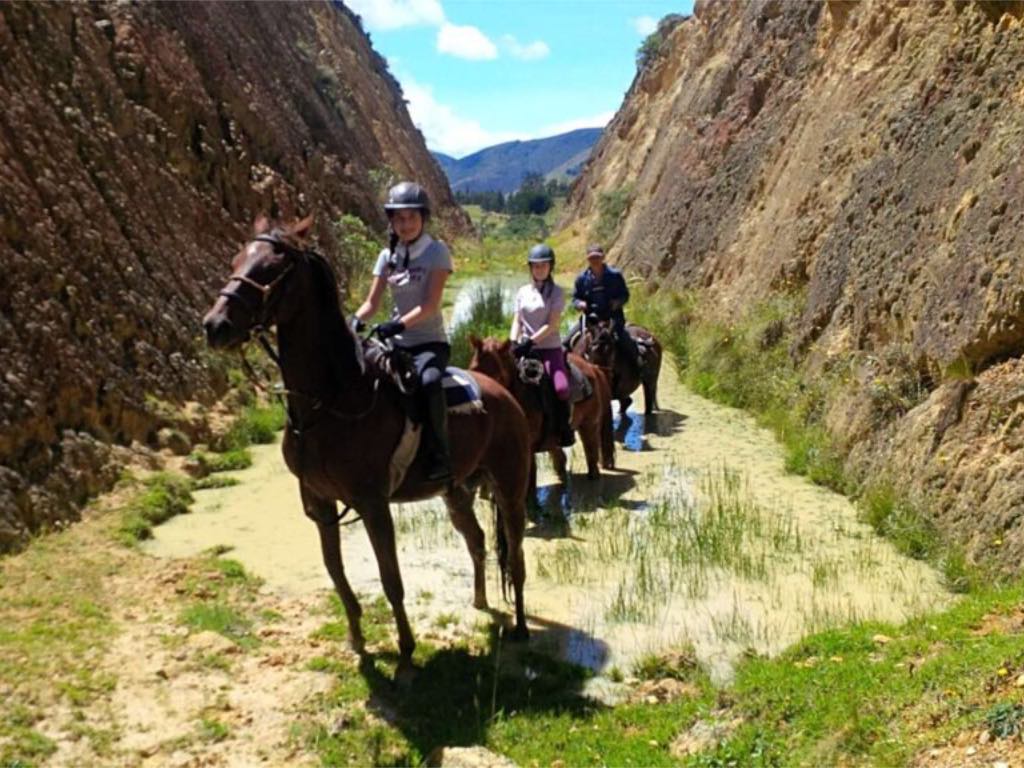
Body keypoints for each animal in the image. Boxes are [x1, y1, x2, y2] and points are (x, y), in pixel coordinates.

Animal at [202, 216, 532, 679]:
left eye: (271, 268)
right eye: (235, 260)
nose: (216, 326)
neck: (331, 401)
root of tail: (506, 396)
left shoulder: (373, 505)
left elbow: (391, 580)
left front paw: (407, 654)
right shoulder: (320, 504)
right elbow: (336, 573)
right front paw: (357, 640)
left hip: (509, 489)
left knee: (516, 555)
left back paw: (520, 626)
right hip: (457, 493)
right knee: (478, 541)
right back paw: (481, 602)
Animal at [467, 337, 615, 495]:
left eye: (498, 376)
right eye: (473, 369)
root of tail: (592, 368)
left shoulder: (527, 448)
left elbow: (529, 479)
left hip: (589, 424)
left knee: (590, 449)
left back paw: (593, 476)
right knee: (559, 455)